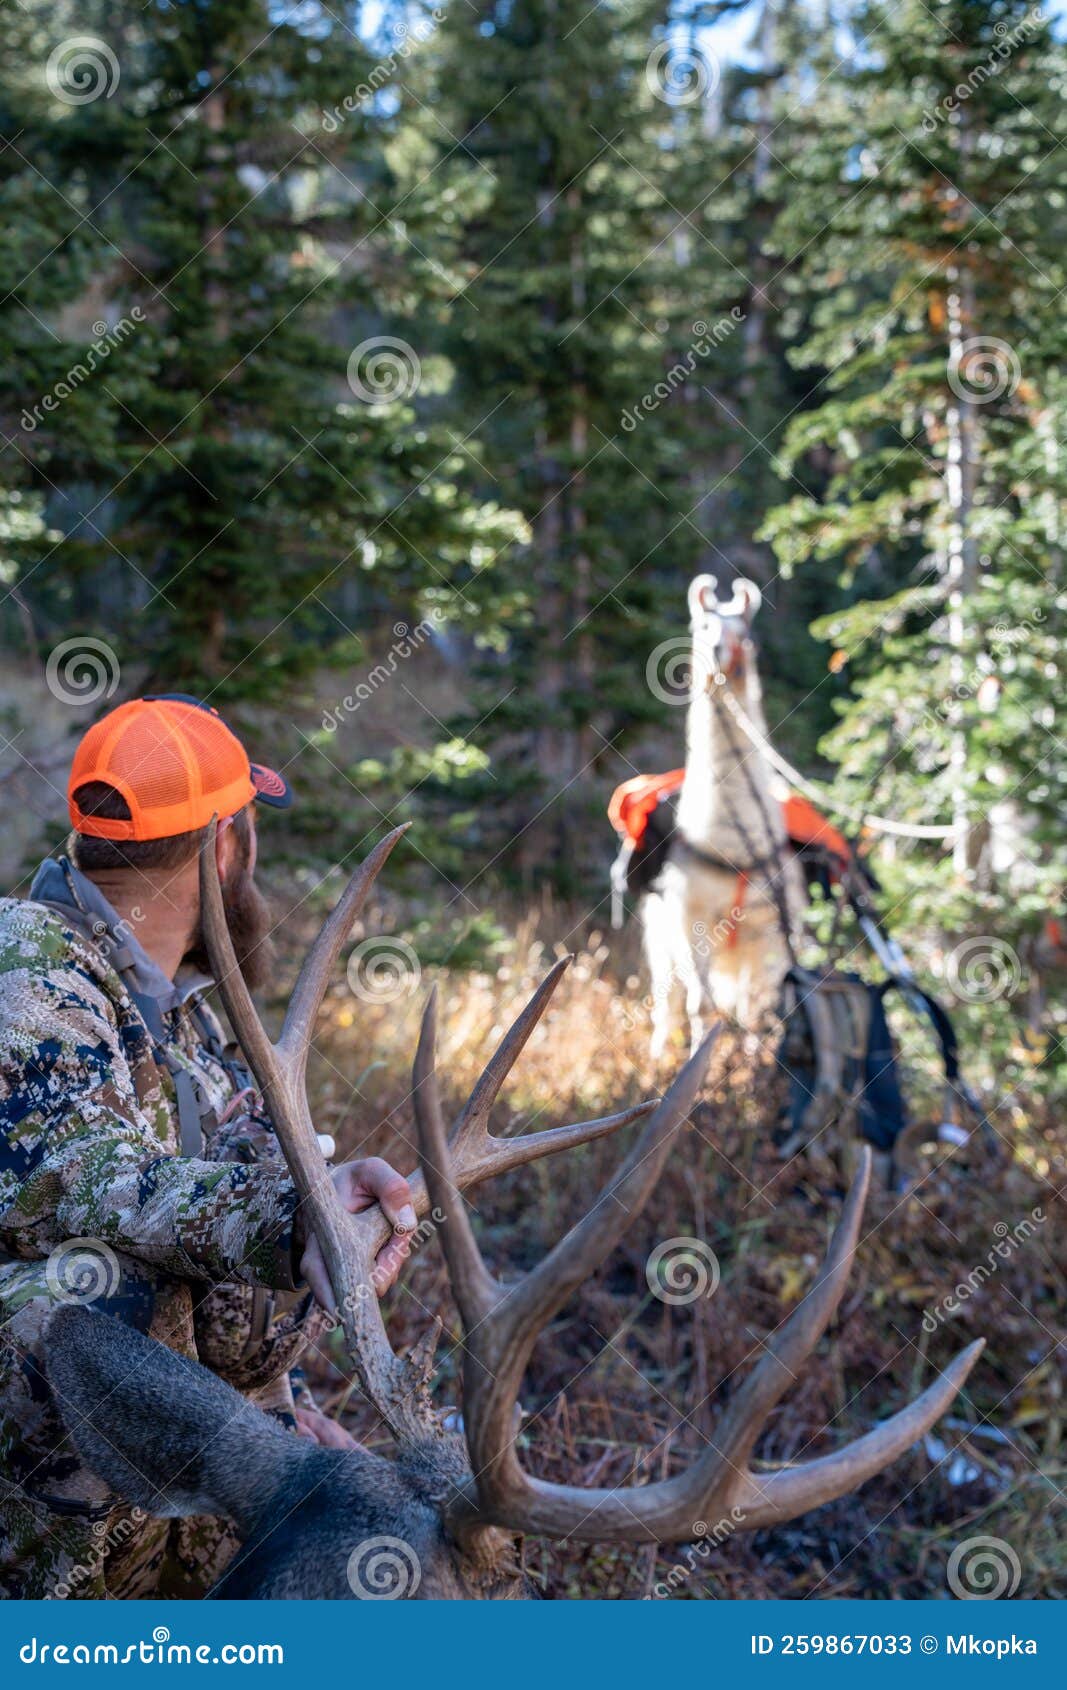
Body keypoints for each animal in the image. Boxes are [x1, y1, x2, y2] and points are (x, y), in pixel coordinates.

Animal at [644, 575, 807, 1058]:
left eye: (745, 630)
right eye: (702, 625)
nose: (721, 652)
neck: (731, 845)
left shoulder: (767, 930)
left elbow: (754, 1004)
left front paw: (754, 1059)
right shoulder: (691, 918)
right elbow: (701, 1005)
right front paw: (702, 1058)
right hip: (659, 932)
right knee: (668, 997)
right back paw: (659, 1054)